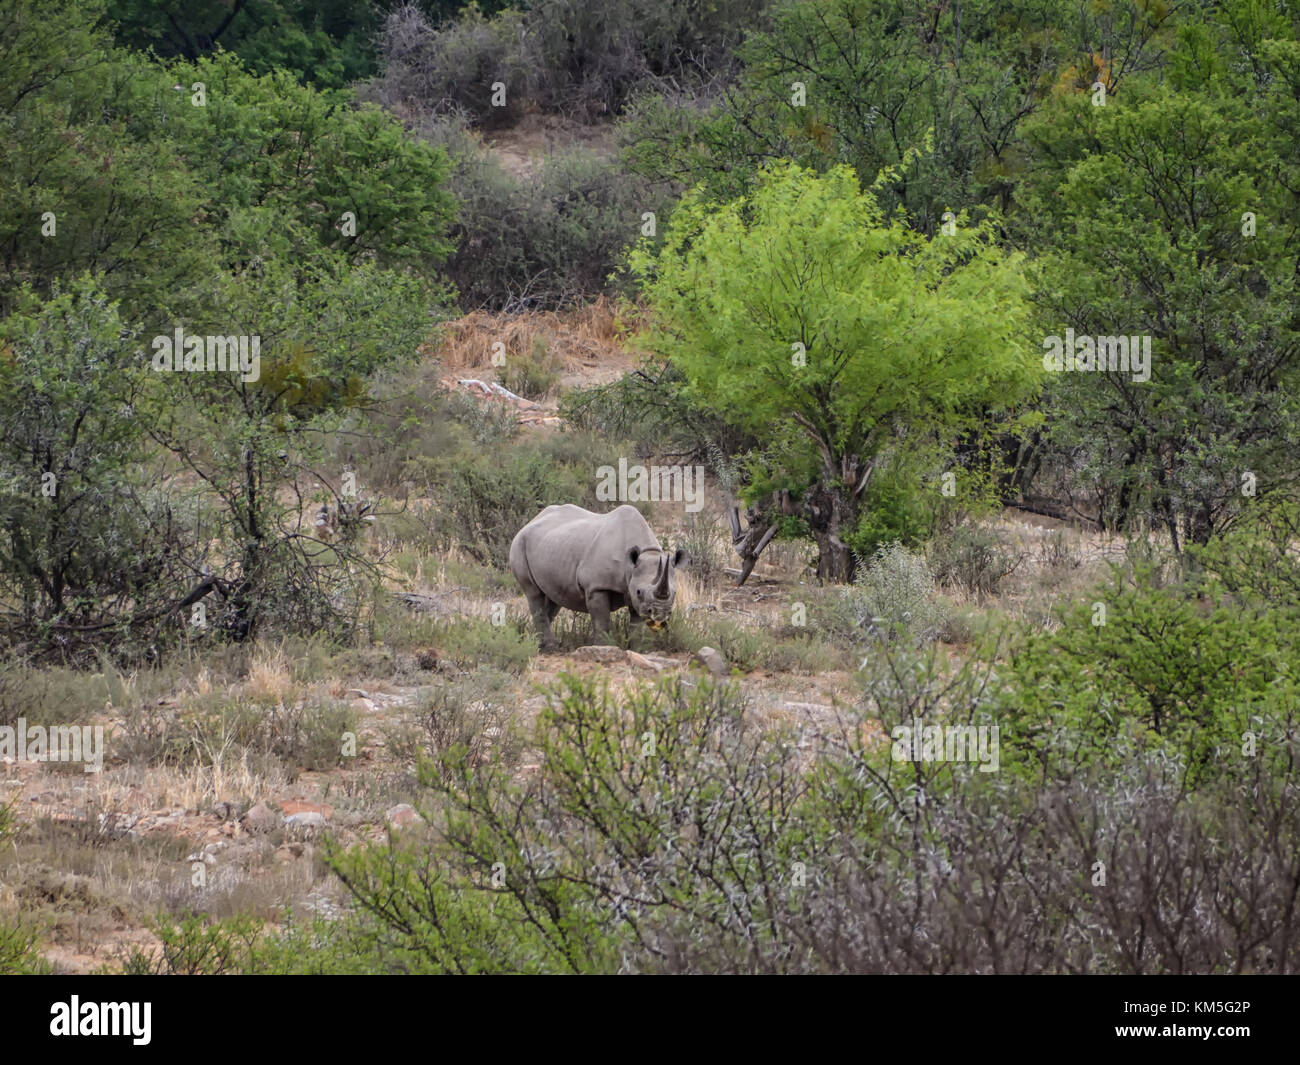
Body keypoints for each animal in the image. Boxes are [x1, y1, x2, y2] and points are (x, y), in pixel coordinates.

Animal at [509, 504, 686, 650]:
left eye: (675, 593)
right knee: (533, 592)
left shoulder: (638, 597)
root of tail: (530, 521)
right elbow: (602, 621)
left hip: (550, 546)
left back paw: (536, 643)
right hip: (519, 543)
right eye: (639, 592)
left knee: (553, 597)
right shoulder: (597, 586)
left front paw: (637, 650)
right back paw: (549, 649)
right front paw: (603, 648)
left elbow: (637, 625)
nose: (660, 614)